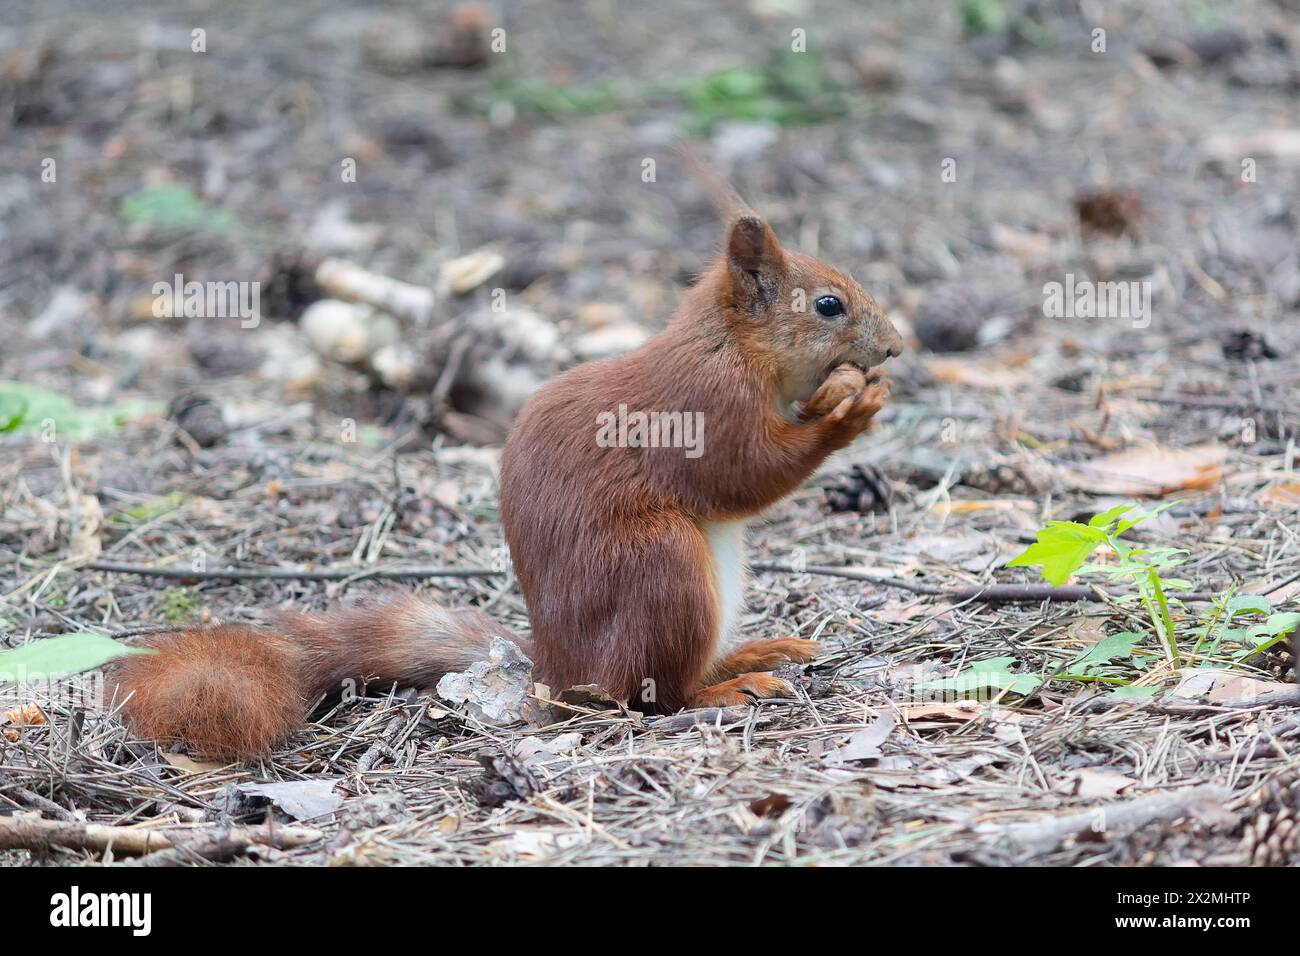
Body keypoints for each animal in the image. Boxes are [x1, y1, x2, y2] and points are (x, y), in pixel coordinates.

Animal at [106, 169, 903, 759]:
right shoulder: (702, 409)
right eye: (829, 305)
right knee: (649, 695)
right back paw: (721, 692)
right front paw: (849, 411)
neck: (732, 348)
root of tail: (553, 671)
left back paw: (753, 655)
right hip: (662, 570)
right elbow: (744, 474)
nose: (895, 347)